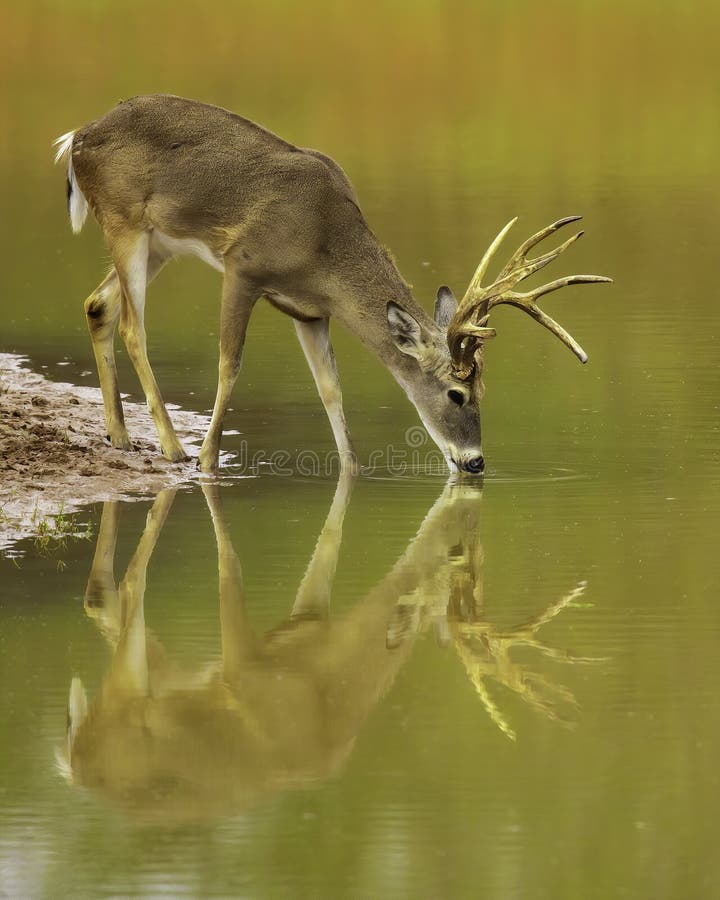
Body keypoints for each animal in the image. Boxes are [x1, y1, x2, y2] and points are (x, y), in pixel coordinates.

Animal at [54, 94, 611, 474]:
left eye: (483, 388)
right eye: (456, 393)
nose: (475, 462)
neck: (322, 244)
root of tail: (75, 137)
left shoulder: (310, 311)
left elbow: (331, 389)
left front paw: (351, 469)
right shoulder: (242, 267)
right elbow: (230, 364)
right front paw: (208, 462)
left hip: (159, 245)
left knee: (97, 304)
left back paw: (120, 438)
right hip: (126, 223)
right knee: (132, 325)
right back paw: (171, 447)